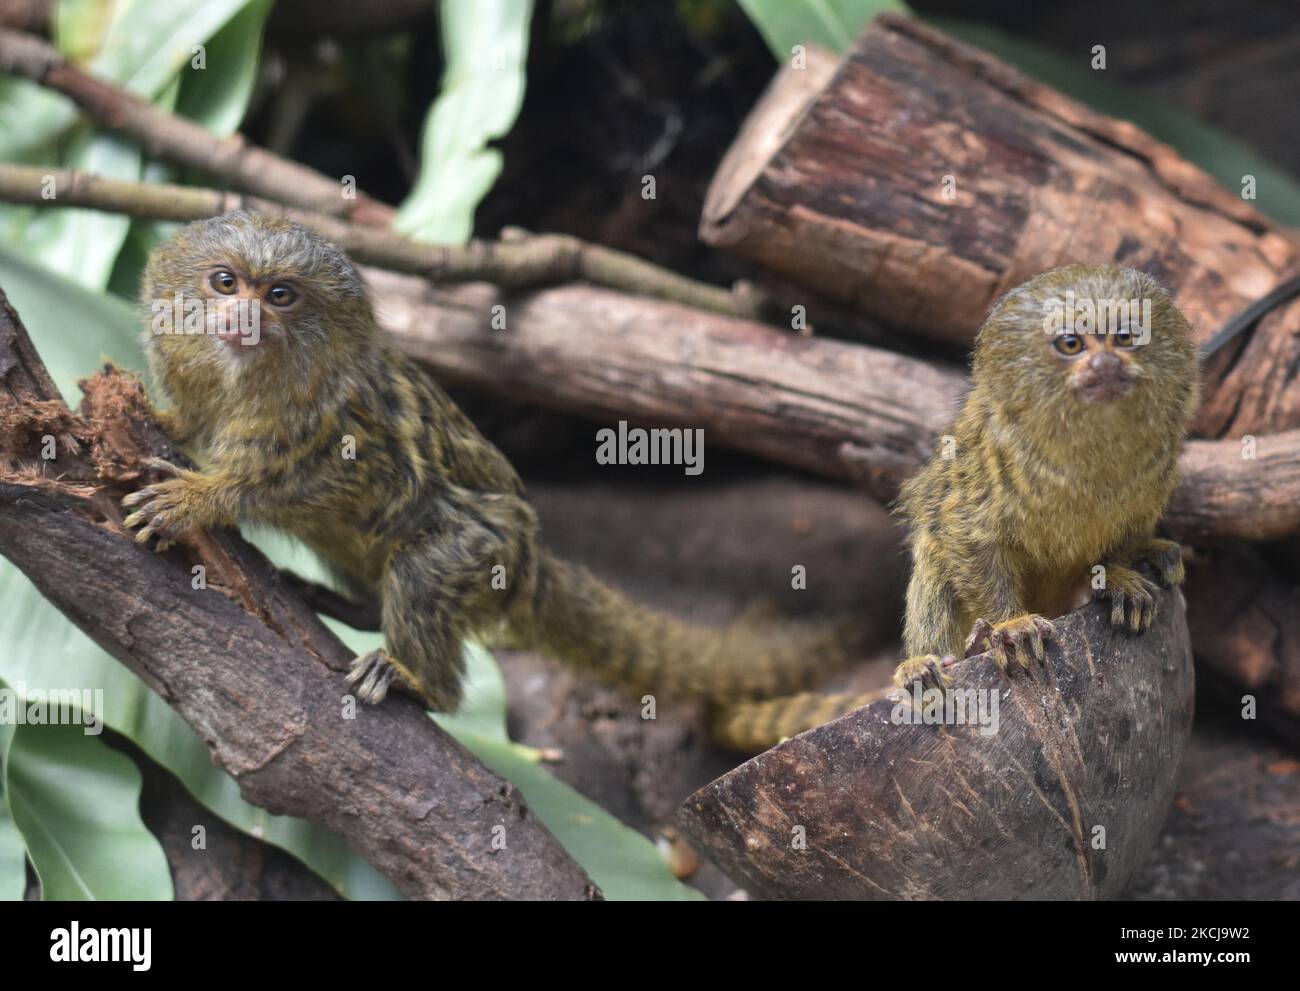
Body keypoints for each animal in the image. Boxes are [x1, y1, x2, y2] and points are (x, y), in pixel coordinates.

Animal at [123, 210, 858, 734]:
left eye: (280, 295)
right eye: (225, 282)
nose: (243, 314)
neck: (247, 385)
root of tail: (532, 559)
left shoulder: (349, 437)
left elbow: (311, 482)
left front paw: (199, 499)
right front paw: (162, 420)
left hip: (484, 549)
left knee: (420, 574)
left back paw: (418, 680)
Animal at [712, 265, 1201, 751]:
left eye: (1126, 336)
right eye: (1071, 344)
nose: (1106, 365)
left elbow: (1126, 533)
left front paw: (1117, 576)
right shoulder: (990, 470)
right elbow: (966, 535)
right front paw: (1012, 627)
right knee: (933, 561)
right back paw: (942, 658)